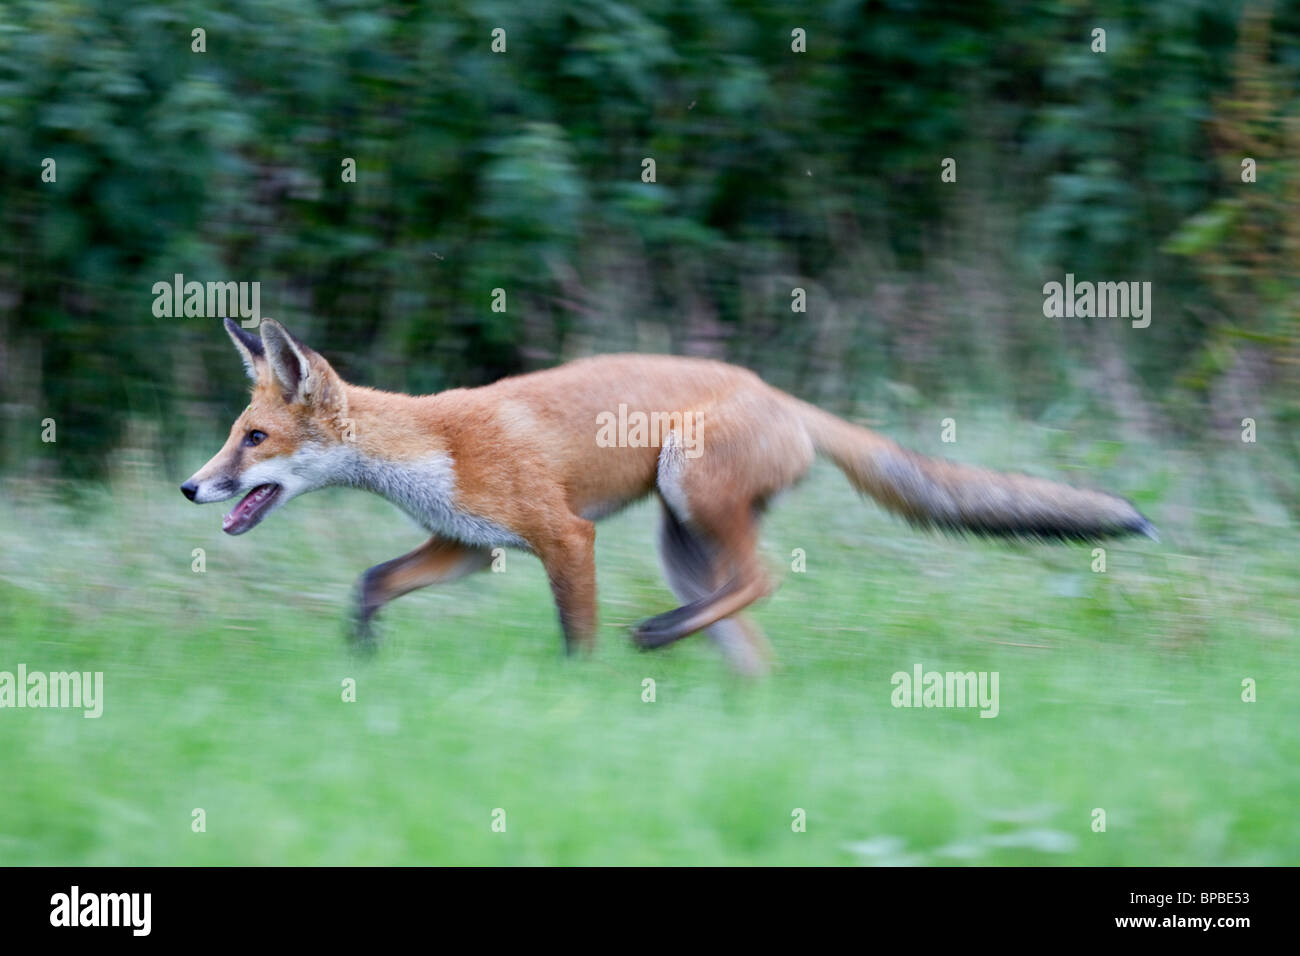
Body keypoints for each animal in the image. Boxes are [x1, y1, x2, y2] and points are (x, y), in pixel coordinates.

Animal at [182, 318, 1156, 675]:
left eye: (253, 440)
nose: (192, 485)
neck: (434, 446)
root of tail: (776, 393)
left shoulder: (564, 536)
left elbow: (574, 639)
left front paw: (580, 693)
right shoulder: (466, 545)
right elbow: (372, 582)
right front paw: (361, 654)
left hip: (690, 493)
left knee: (762, 582)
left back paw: (658, 638)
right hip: (680, 541)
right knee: (751, 632)